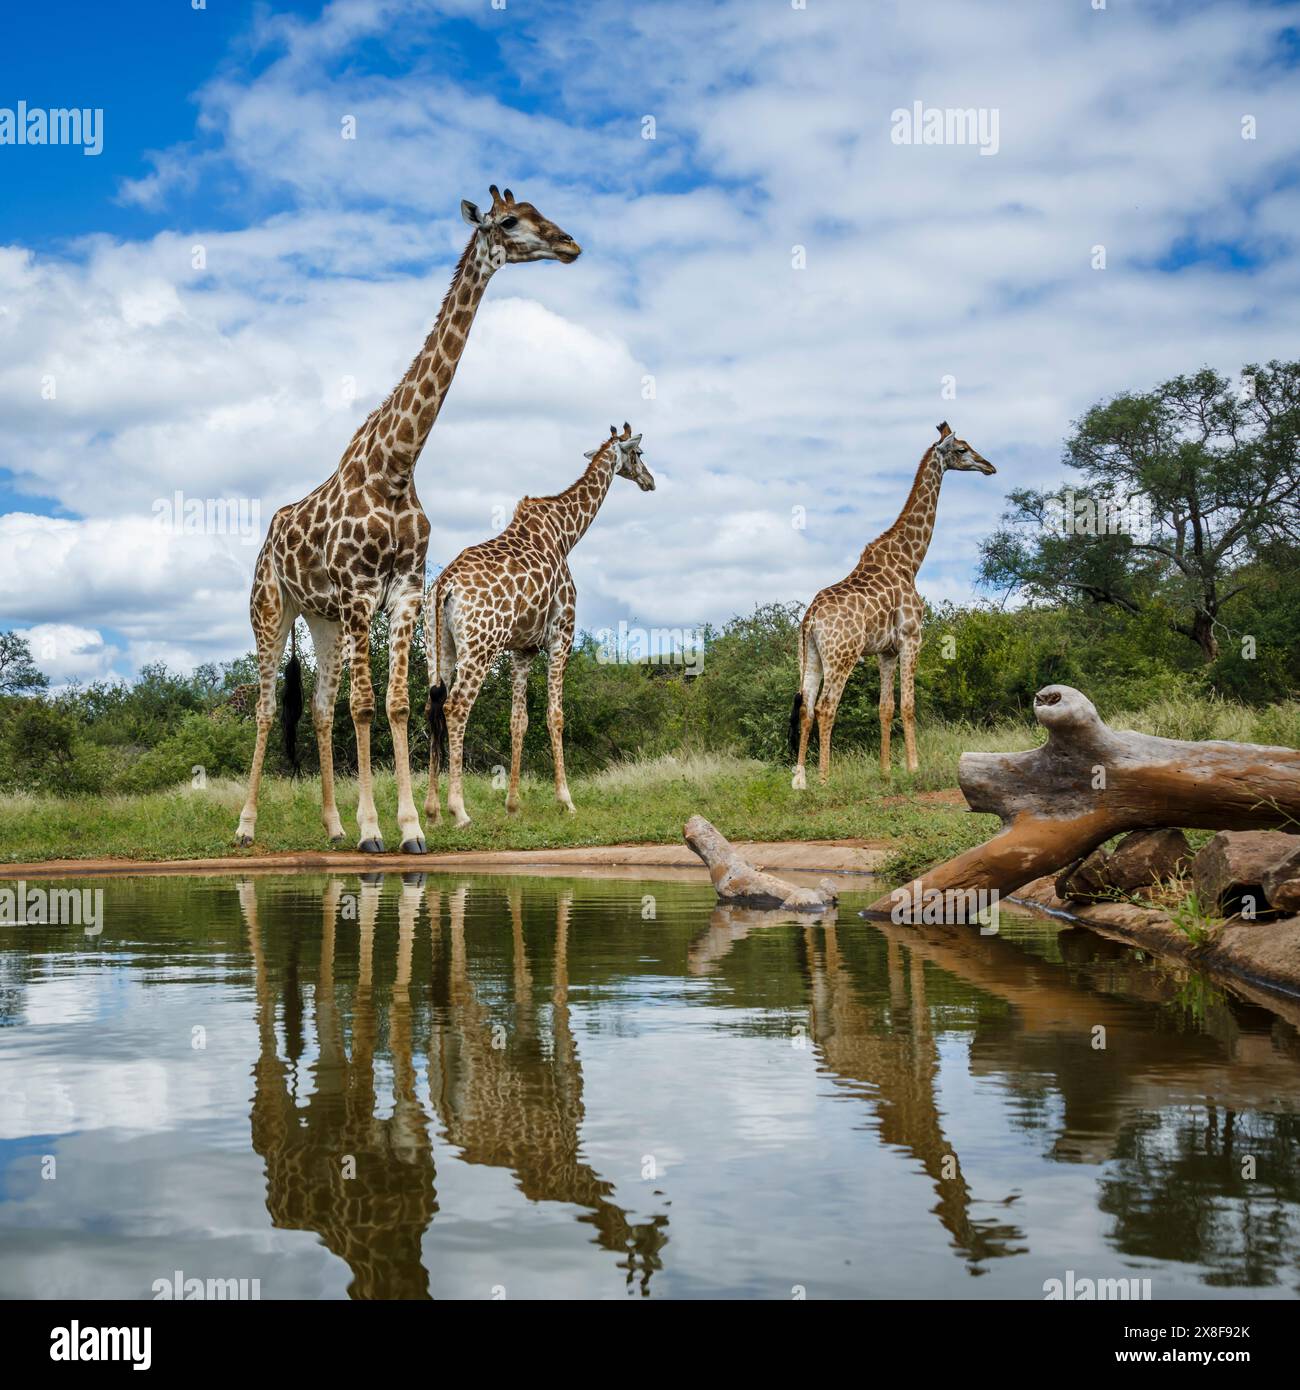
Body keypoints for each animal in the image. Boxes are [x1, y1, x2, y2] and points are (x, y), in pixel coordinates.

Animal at [235, 185, 581, 853]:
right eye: (509, 222)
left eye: (539, 211)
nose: (570, 243)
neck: (396, 465)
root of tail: (267, 541)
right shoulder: (357, 592)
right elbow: (367, 705)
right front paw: (376, 829)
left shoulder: (404, 591)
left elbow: (394, 703)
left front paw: (409, 826)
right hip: (273, 609)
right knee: (266, 706)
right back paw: (247, 825)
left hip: (321, 620)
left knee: (320, 707)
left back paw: (332, 825)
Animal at [424, 422, 654, 828]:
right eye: (639, 453)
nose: (650, 481)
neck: (565, 534)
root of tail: (444, 586)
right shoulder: (562, 634)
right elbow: (555, 716)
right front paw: (566, 800)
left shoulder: (522, 648)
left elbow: (519, 720)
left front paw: (513, 804)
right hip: (480, 647)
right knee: (455, 707)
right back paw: (459, 810)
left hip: (439, 649)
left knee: (431, 708)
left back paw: (432, 810)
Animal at [790, 422, 995, 789]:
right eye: (962, 449)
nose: (989, 466)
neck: (910, 560)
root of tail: (810, 618)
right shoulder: (912, 637)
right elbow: (909, 705)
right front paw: (913, 767)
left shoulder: (885, 650)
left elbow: (885, 707)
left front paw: (885, 771)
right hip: (842, 656)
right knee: (827, 707)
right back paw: (825, 779)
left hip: (810, 656)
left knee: (806, 708)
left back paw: (800, 780)